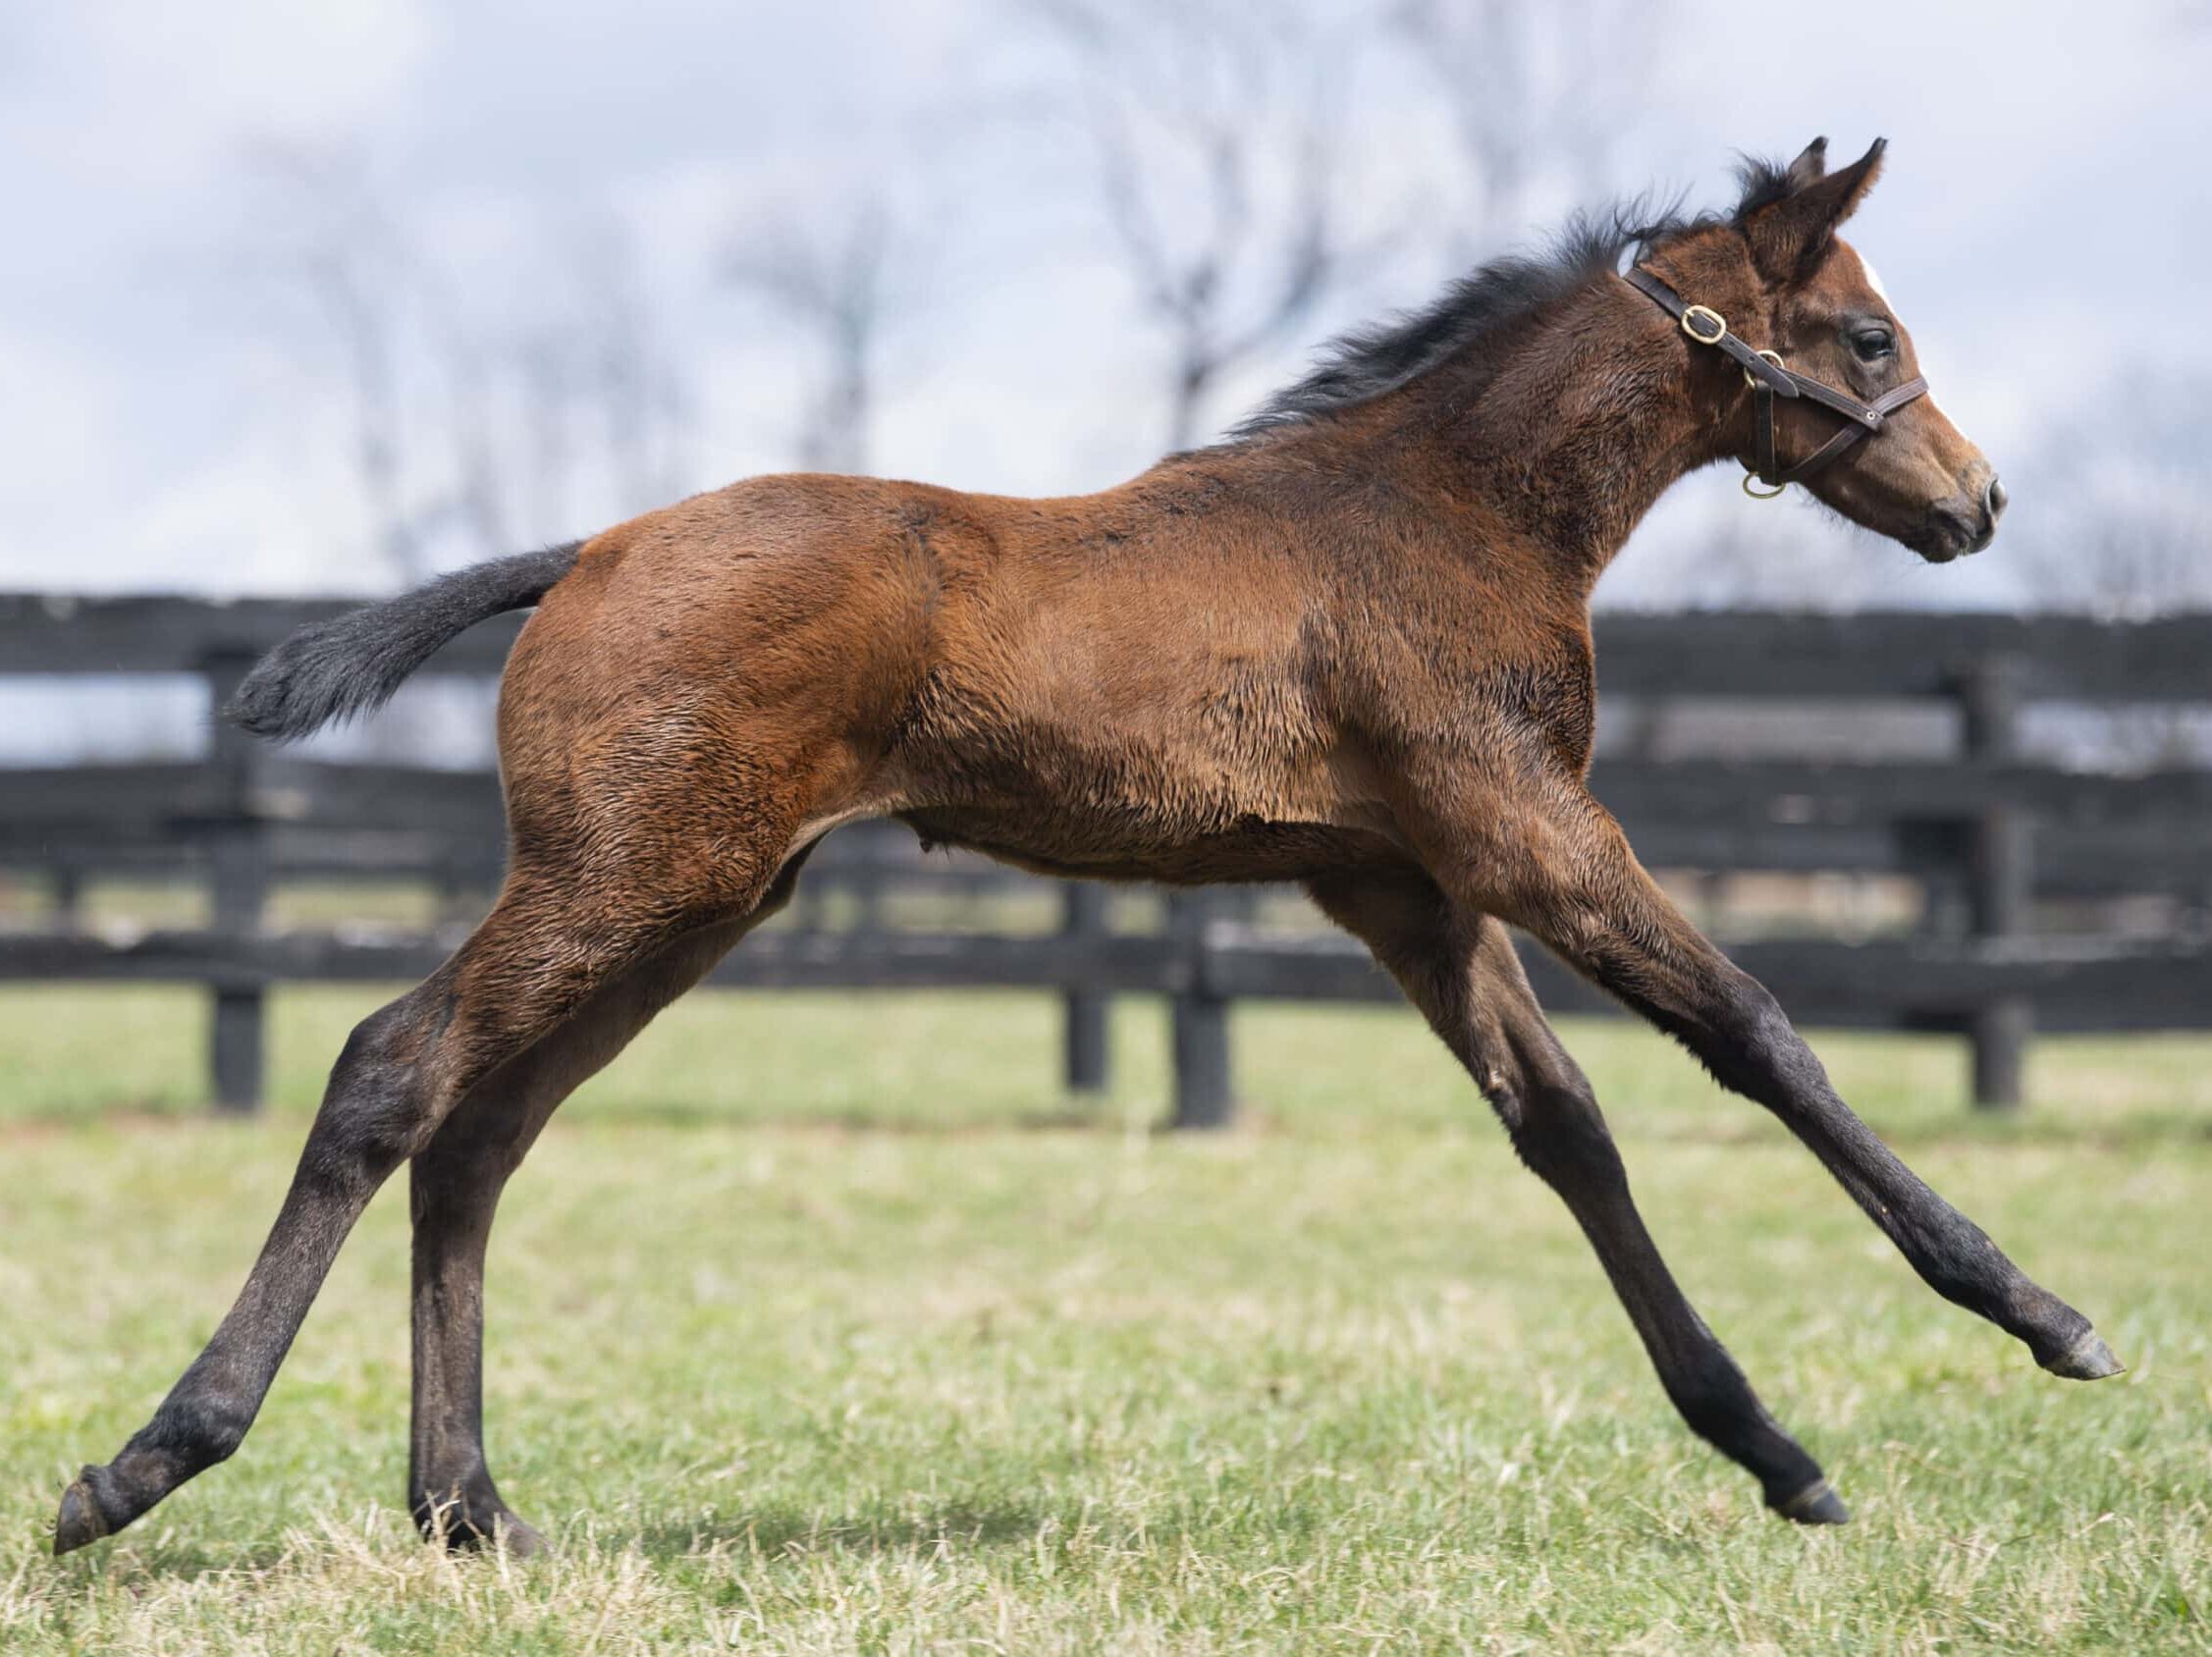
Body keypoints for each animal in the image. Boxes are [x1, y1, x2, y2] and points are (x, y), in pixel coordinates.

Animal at [54, 136, 2117, 1558]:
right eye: (1865, 332)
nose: (1979, 501)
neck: (1437, 509)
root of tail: (586, 551)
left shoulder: (1402, 883)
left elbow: (1565, 1132)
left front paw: (1773, 1449)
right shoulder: (1522, 830)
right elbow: (1758, 1034)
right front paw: (2037, 1312)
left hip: (687, 905)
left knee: (478, 1134)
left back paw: (469, 1510)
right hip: (614, 880)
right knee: (387, 1068)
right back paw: (146, 1460)